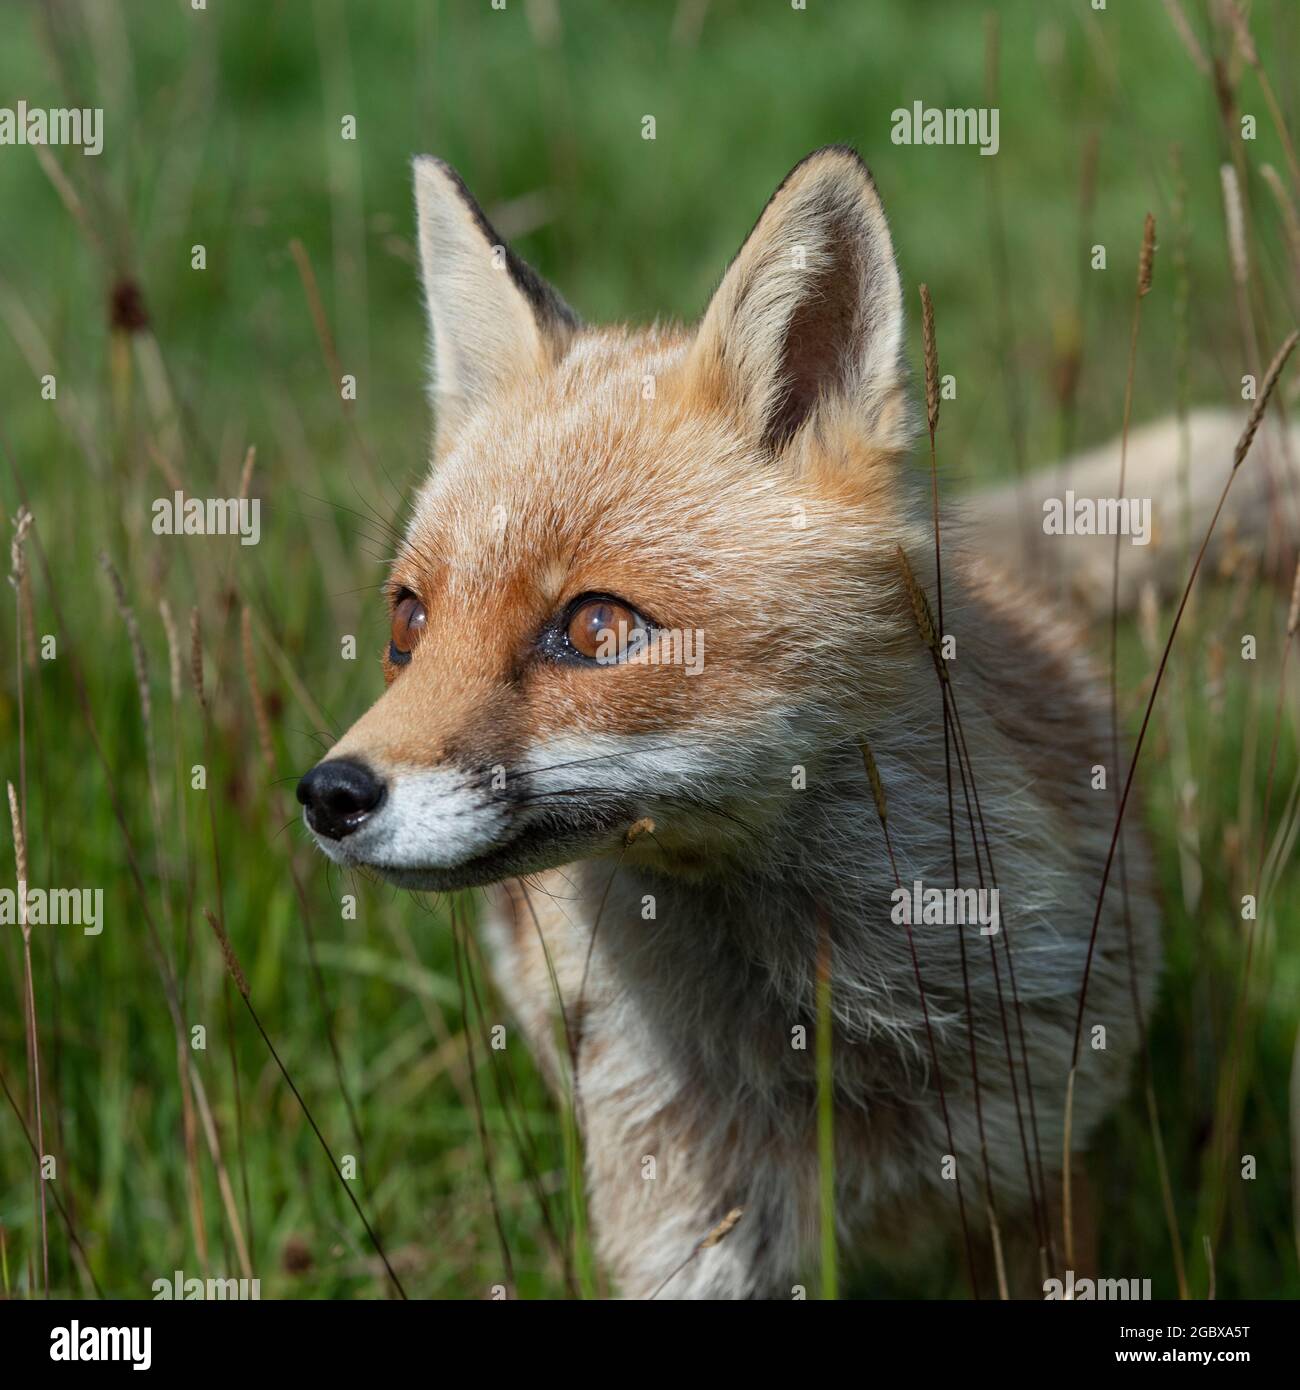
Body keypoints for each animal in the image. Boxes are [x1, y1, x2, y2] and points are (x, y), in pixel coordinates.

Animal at [296, 145, 1285, 1298]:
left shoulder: (1045, 1173)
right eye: (408, 620)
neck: (839, 1034)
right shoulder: (685, 1229)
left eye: (594, 626)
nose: (329, 794)